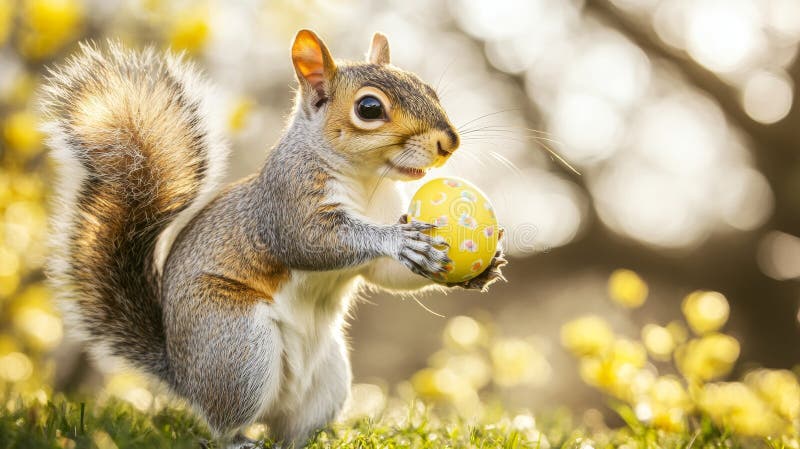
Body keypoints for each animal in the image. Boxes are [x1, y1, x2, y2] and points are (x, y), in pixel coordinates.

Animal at [43, 30, 507, 448]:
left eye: (426, 87)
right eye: (370, 108)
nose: (449, 142)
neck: (366, 181)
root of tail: (182, 373)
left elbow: (385, 275)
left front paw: (484, 268)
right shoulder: (286, 202)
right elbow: (309, 243)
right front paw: (397, 240)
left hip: (329, 377)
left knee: (293, 429)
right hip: (237, 349)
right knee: (222, 424)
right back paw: (238, 439)